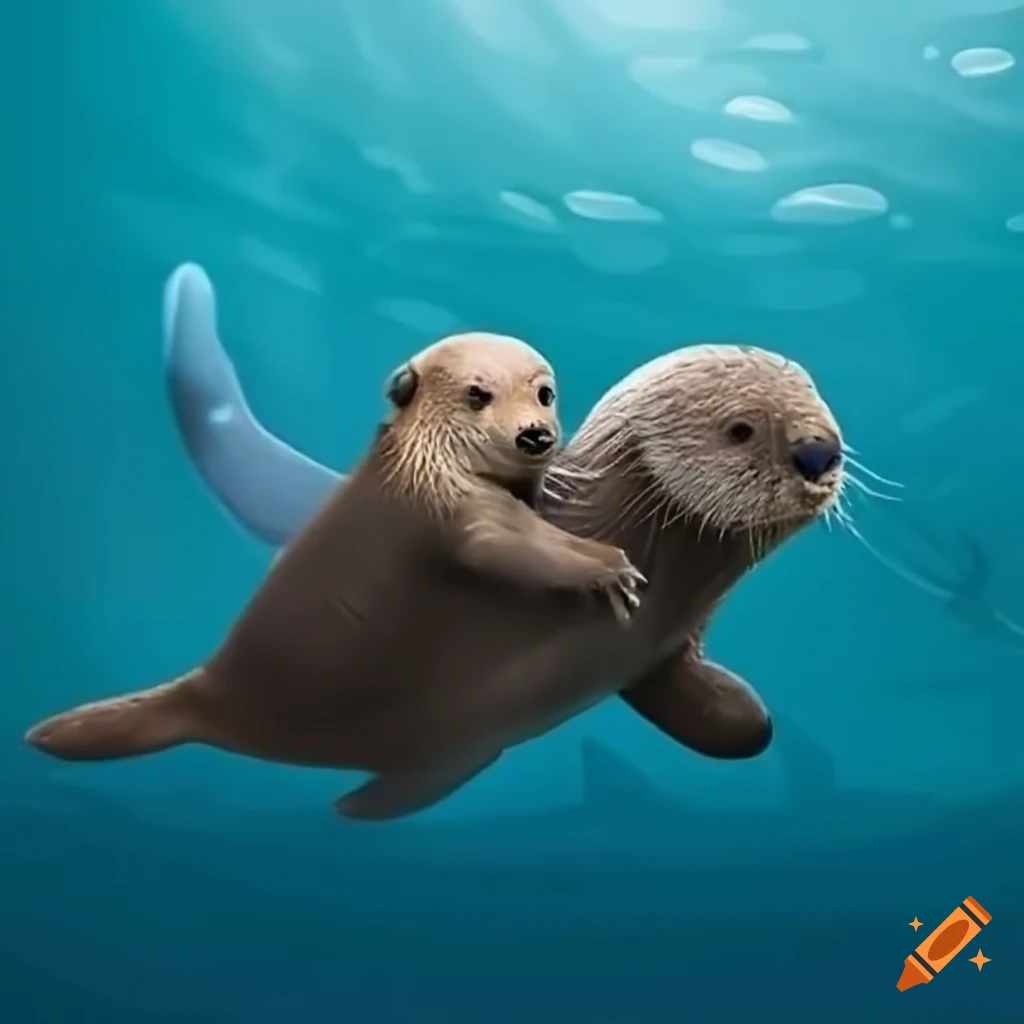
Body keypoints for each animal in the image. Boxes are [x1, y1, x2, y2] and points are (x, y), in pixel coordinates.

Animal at [25, 332, 647, 815]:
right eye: (478, 394)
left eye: (545, 393)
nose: (535, 433)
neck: (424, 466)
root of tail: (198, 693)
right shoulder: (467, 517)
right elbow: (524, 551)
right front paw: (609, 569)